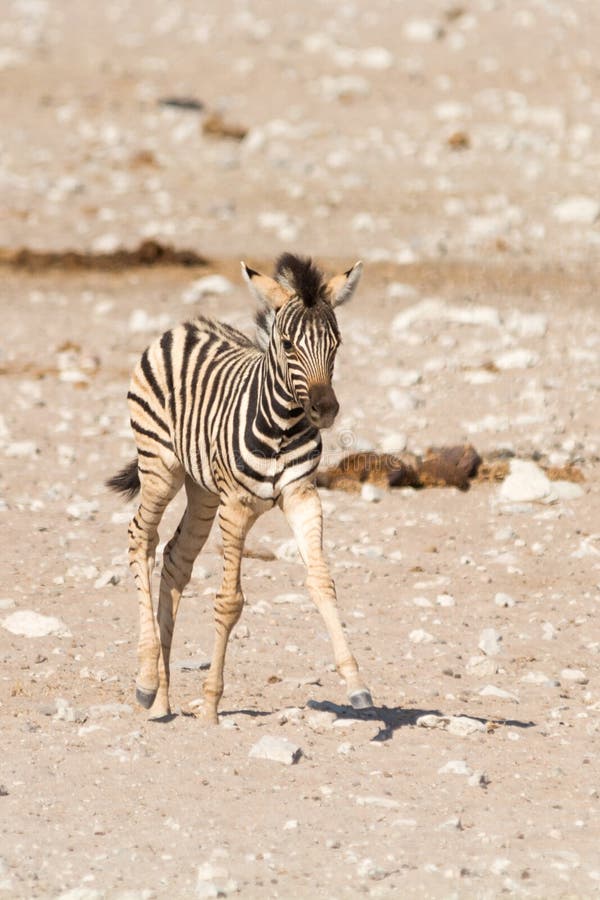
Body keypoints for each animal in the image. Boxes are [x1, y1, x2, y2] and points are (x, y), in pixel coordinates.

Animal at [107, 252, 373, 723]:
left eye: (336, 343)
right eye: (287, 344)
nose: (325, 410)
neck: (283, 423)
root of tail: (186, 326)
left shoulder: (302, 496)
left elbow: (322, 583)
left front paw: (356, 685)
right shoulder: (236, 505)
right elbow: (229, 601)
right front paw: (212, 705)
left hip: (202, 490)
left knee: (175, 559)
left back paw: (163, 700)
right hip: (160, 466)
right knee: (142, 538)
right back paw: (147, 681)